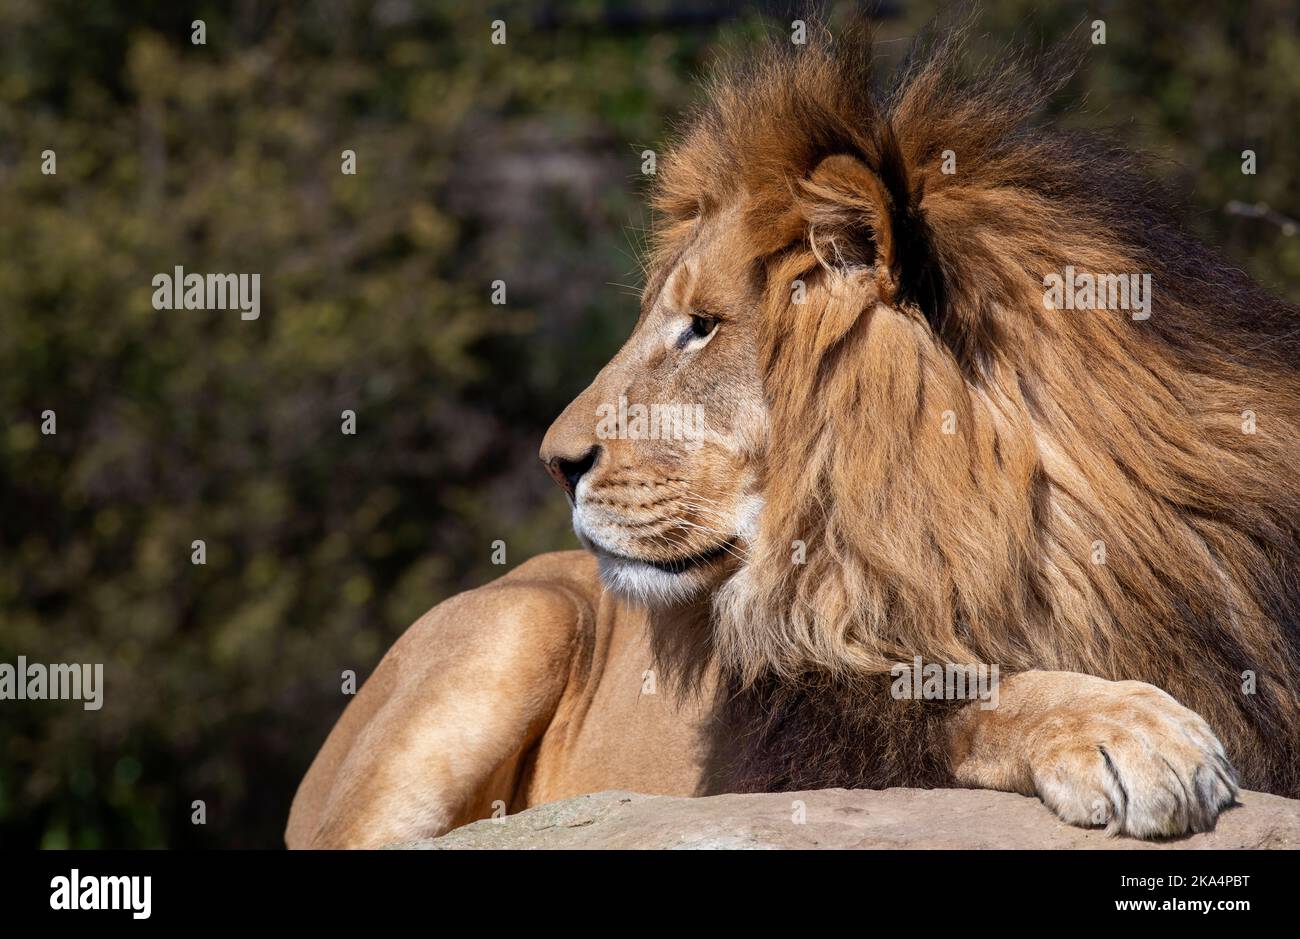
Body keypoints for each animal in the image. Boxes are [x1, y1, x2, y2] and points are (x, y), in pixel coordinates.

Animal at [286, 21, 1300, 849]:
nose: (554, 462)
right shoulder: (790, 751)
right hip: (520, 621)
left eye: (701, 327)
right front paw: (1126, 730)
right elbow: (955, 698)